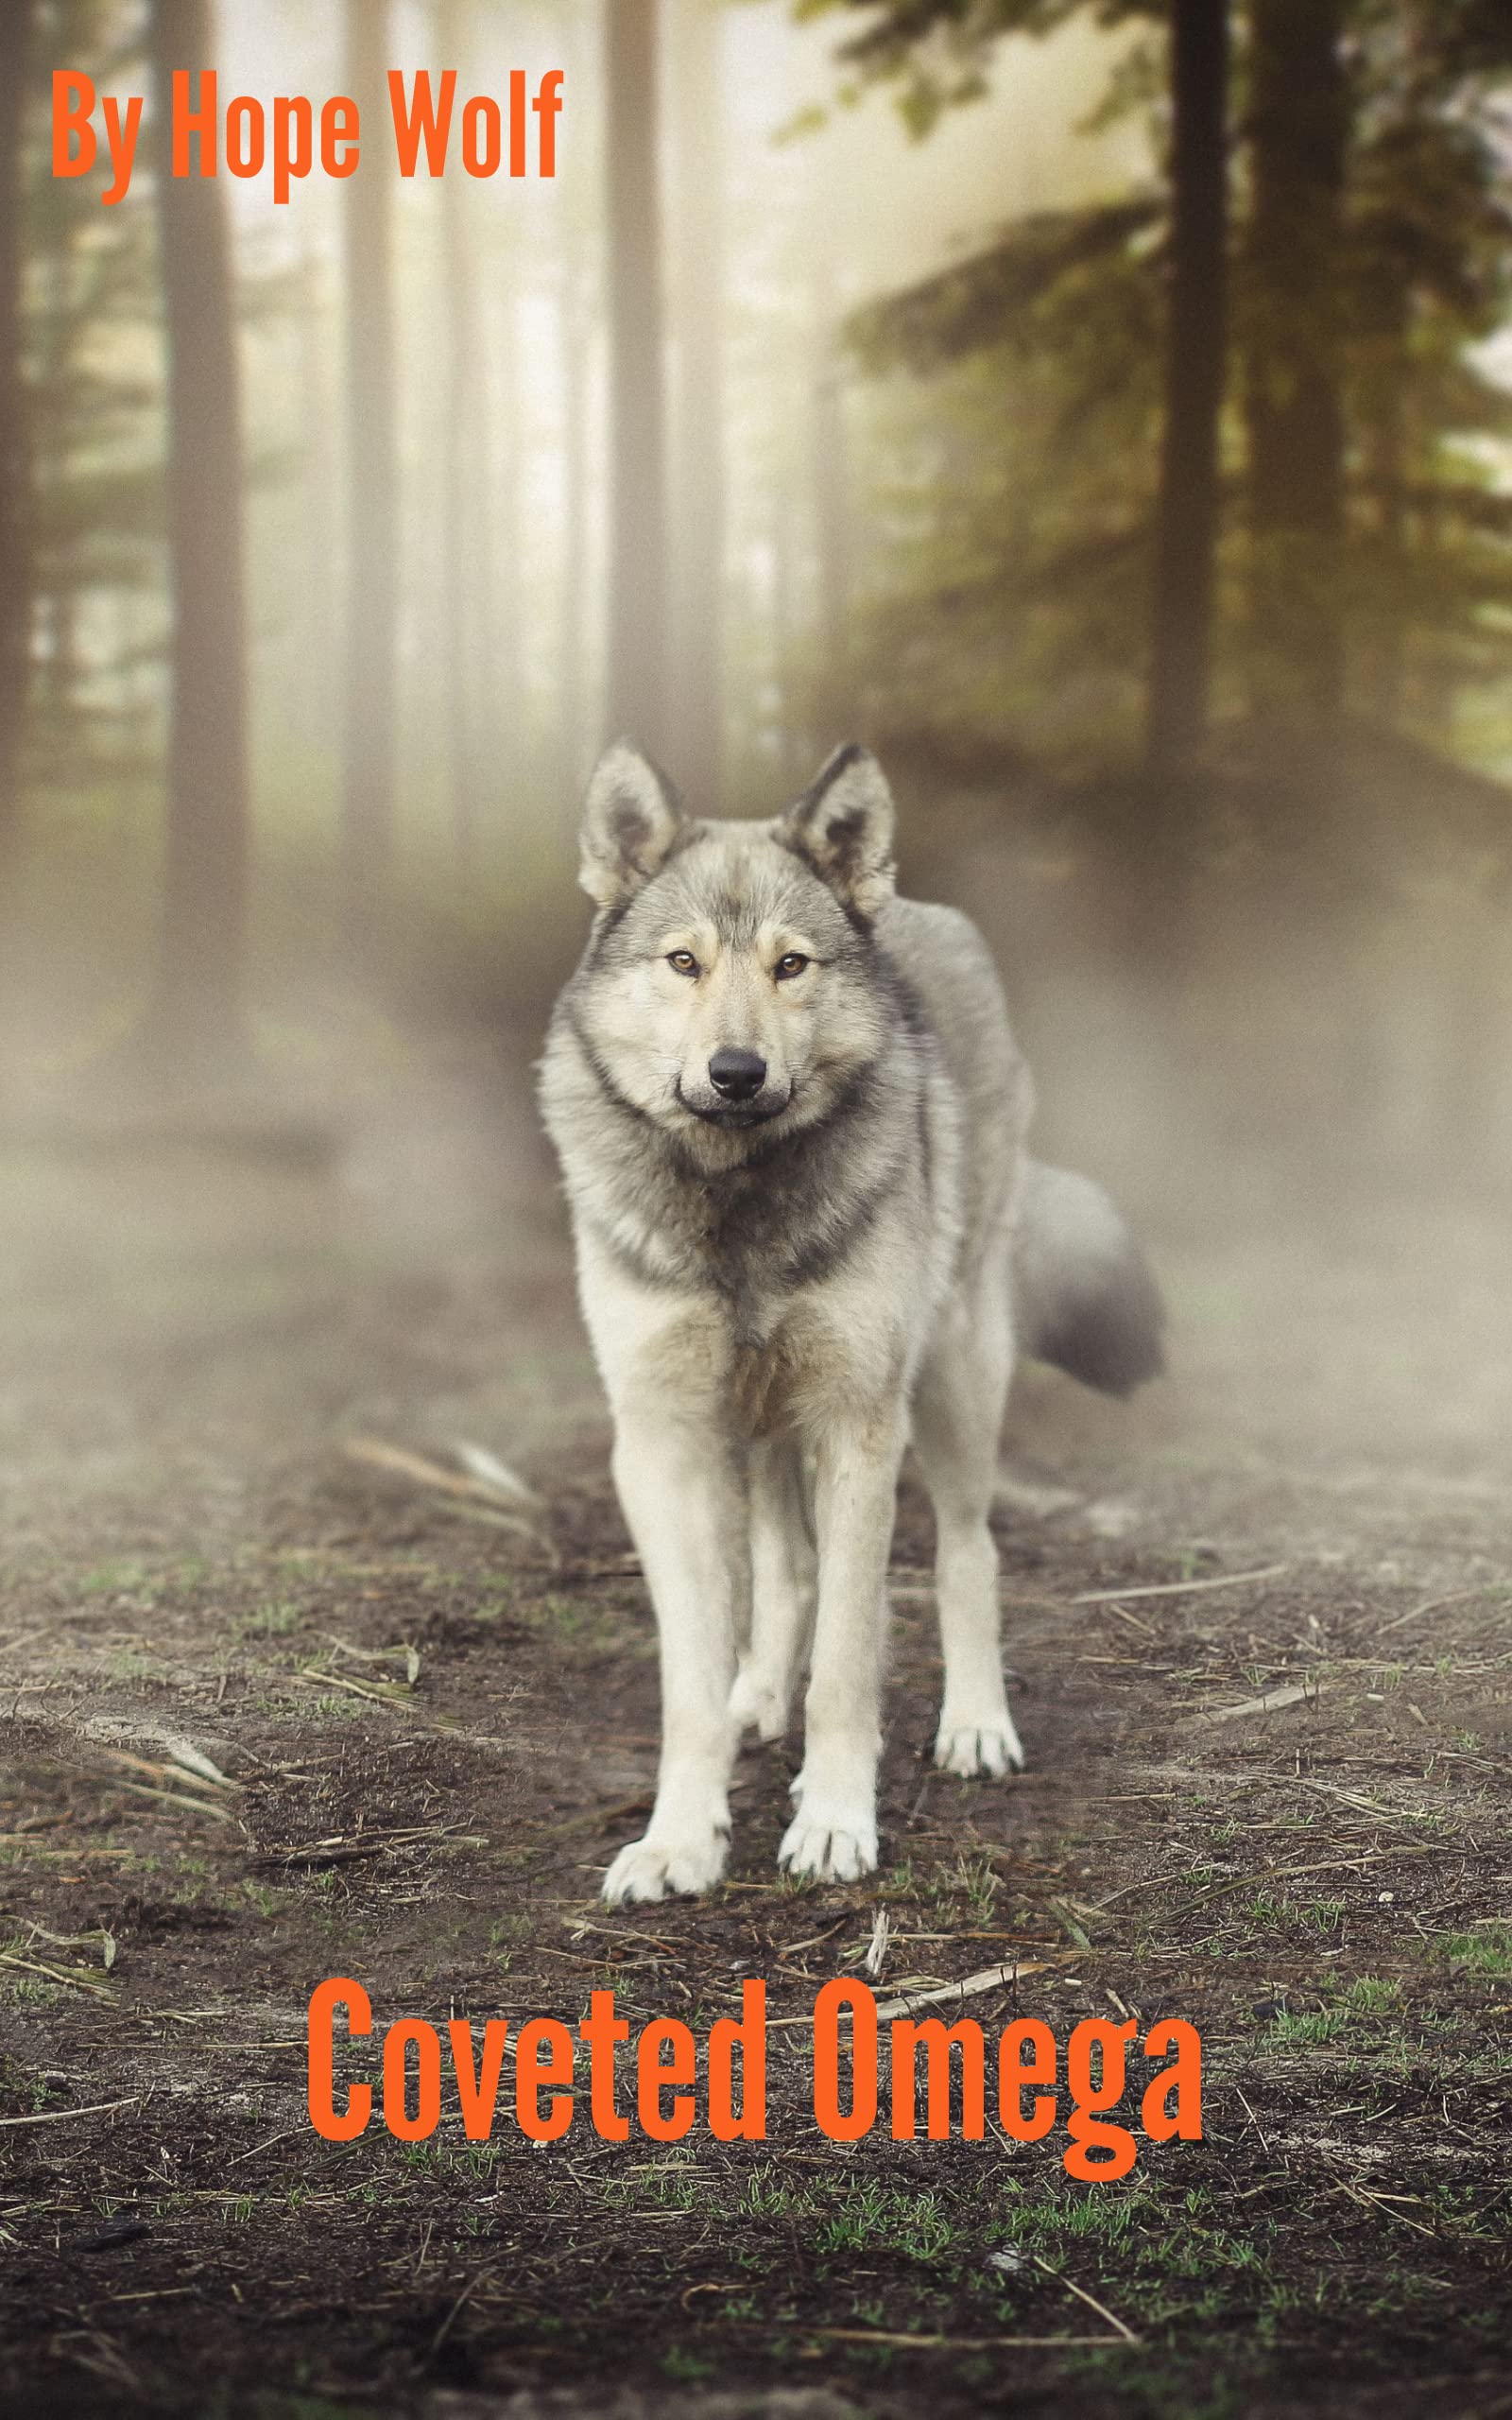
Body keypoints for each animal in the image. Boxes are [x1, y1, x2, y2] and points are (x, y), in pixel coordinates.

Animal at [538, 742, 1163, 1904]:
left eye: (791, 967)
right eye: (684, 963)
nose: (736, 1073)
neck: (740, 1204)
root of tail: (923, 906)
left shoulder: (858, 1427)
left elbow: (847, 1662)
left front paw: (832, 1823)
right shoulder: (662, 1446)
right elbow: (690, 1683)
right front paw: (680, 1837)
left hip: (953, 1383)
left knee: (968, 1553)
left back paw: (975, 1725)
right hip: (761, 1425)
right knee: (783, 1574)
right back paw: (756, 1699)